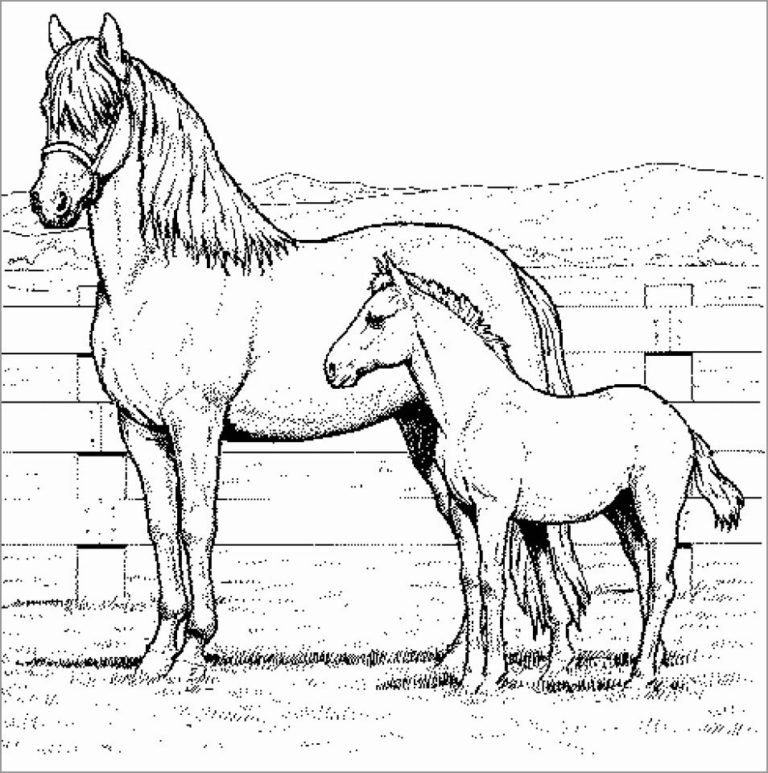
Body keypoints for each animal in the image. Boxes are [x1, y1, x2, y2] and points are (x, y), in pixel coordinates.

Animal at [30, 13, 589, 683]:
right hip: (427, 431)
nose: (50, 203)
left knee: (527, 535)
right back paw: (462, 660)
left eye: (106, 107)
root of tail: (516, 275)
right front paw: (156, 657)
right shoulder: (140, 429)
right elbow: (161, 532)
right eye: (46, 107)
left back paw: (547, 658)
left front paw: (193, 653)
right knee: (471, 537)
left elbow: (196, 528)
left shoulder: (196, 425)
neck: (158, 276)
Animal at [325, 256, 744, 691]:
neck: (474, 408)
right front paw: (469, 677)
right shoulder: (464, 510)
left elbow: (492, 581)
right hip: (624, 513)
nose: (332, 368)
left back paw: (640, 677)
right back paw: (639, 669)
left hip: (656, 511)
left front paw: (490, 676)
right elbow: (470, 579)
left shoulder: (493, 511)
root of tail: (679, 420)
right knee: (645, 580)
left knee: (662, 584)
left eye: (376, 318)